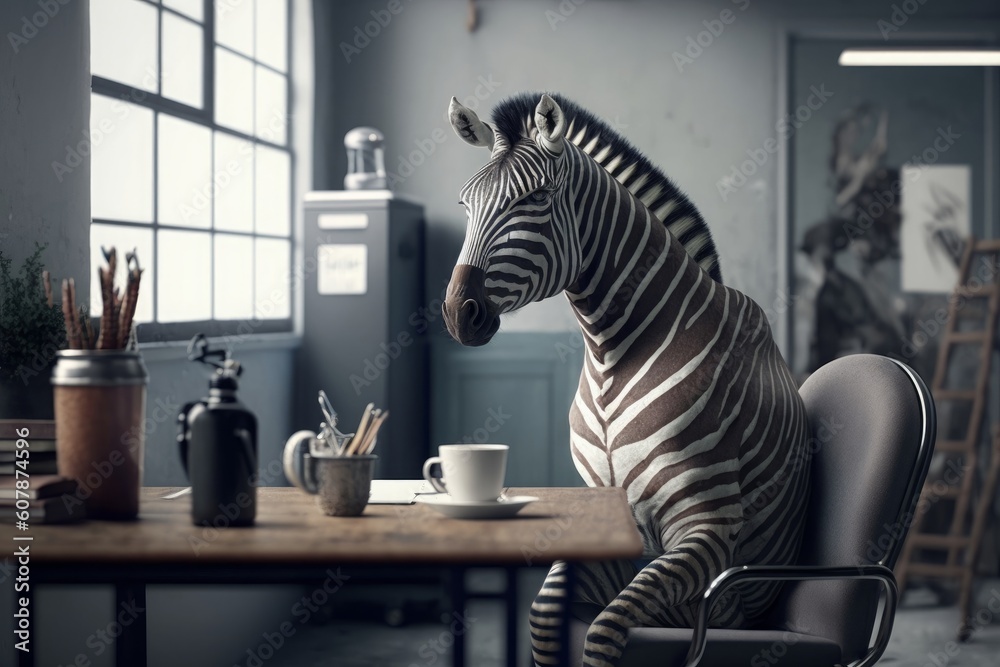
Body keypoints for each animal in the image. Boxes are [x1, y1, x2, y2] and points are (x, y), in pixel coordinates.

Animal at [442, 92, 810, 667]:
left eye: (537, 199)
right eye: (465, 205)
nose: (460, 314)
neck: (612, 359)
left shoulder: (707, 528)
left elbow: (602, 633)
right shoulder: (612, 524)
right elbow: (544, 621)